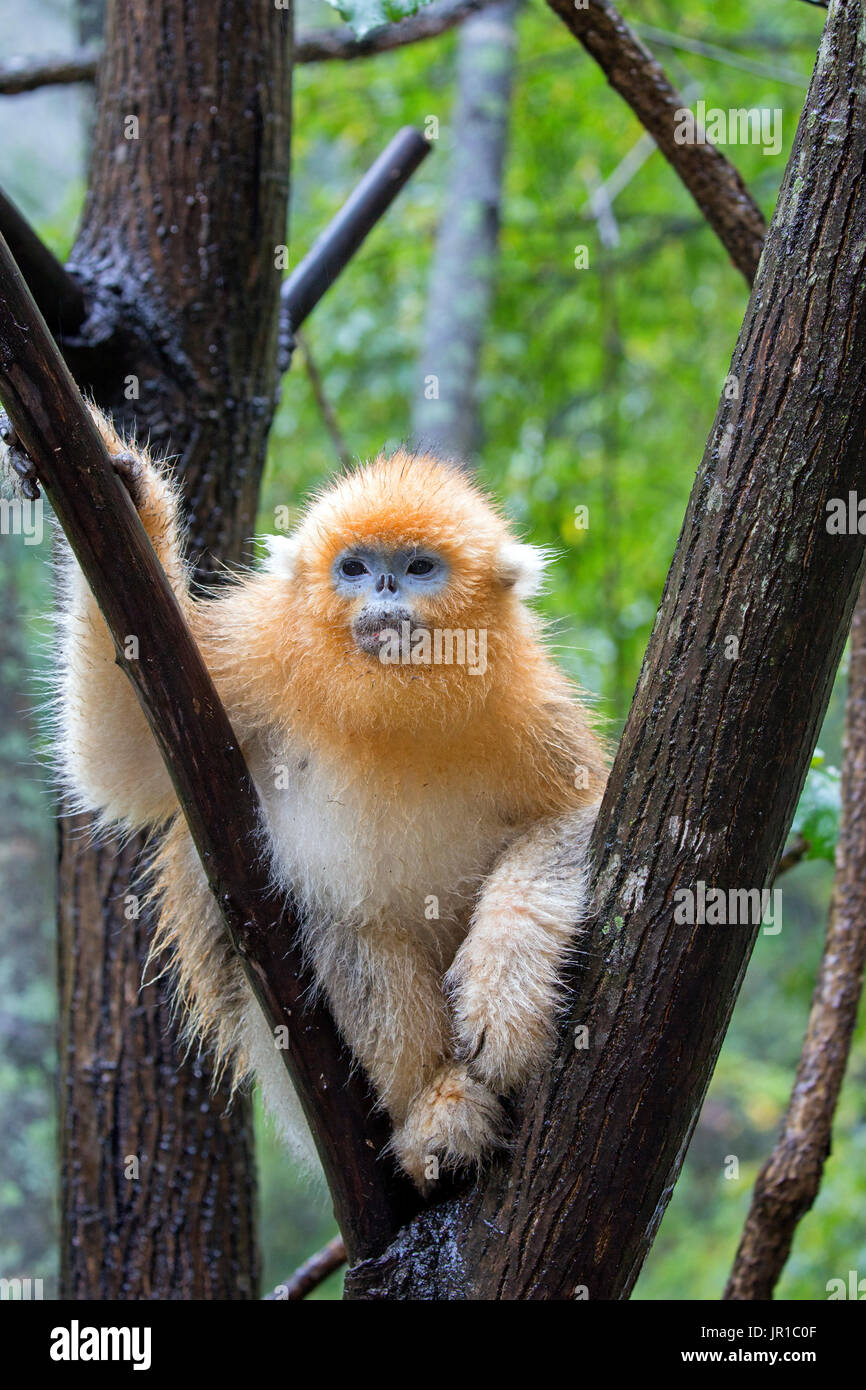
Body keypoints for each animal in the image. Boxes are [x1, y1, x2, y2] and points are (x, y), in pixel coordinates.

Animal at [6, 406, 607, 1190]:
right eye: (353, 567)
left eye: (418, 566)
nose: (384, 588)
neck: (391, 711)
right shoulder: (260, 654)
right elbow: (123, 763)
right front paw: (124, 484)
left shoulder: (529, 707)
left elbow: (577, 815)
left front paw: (503, 992)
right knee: (336, 920)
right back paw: (436, 1111)